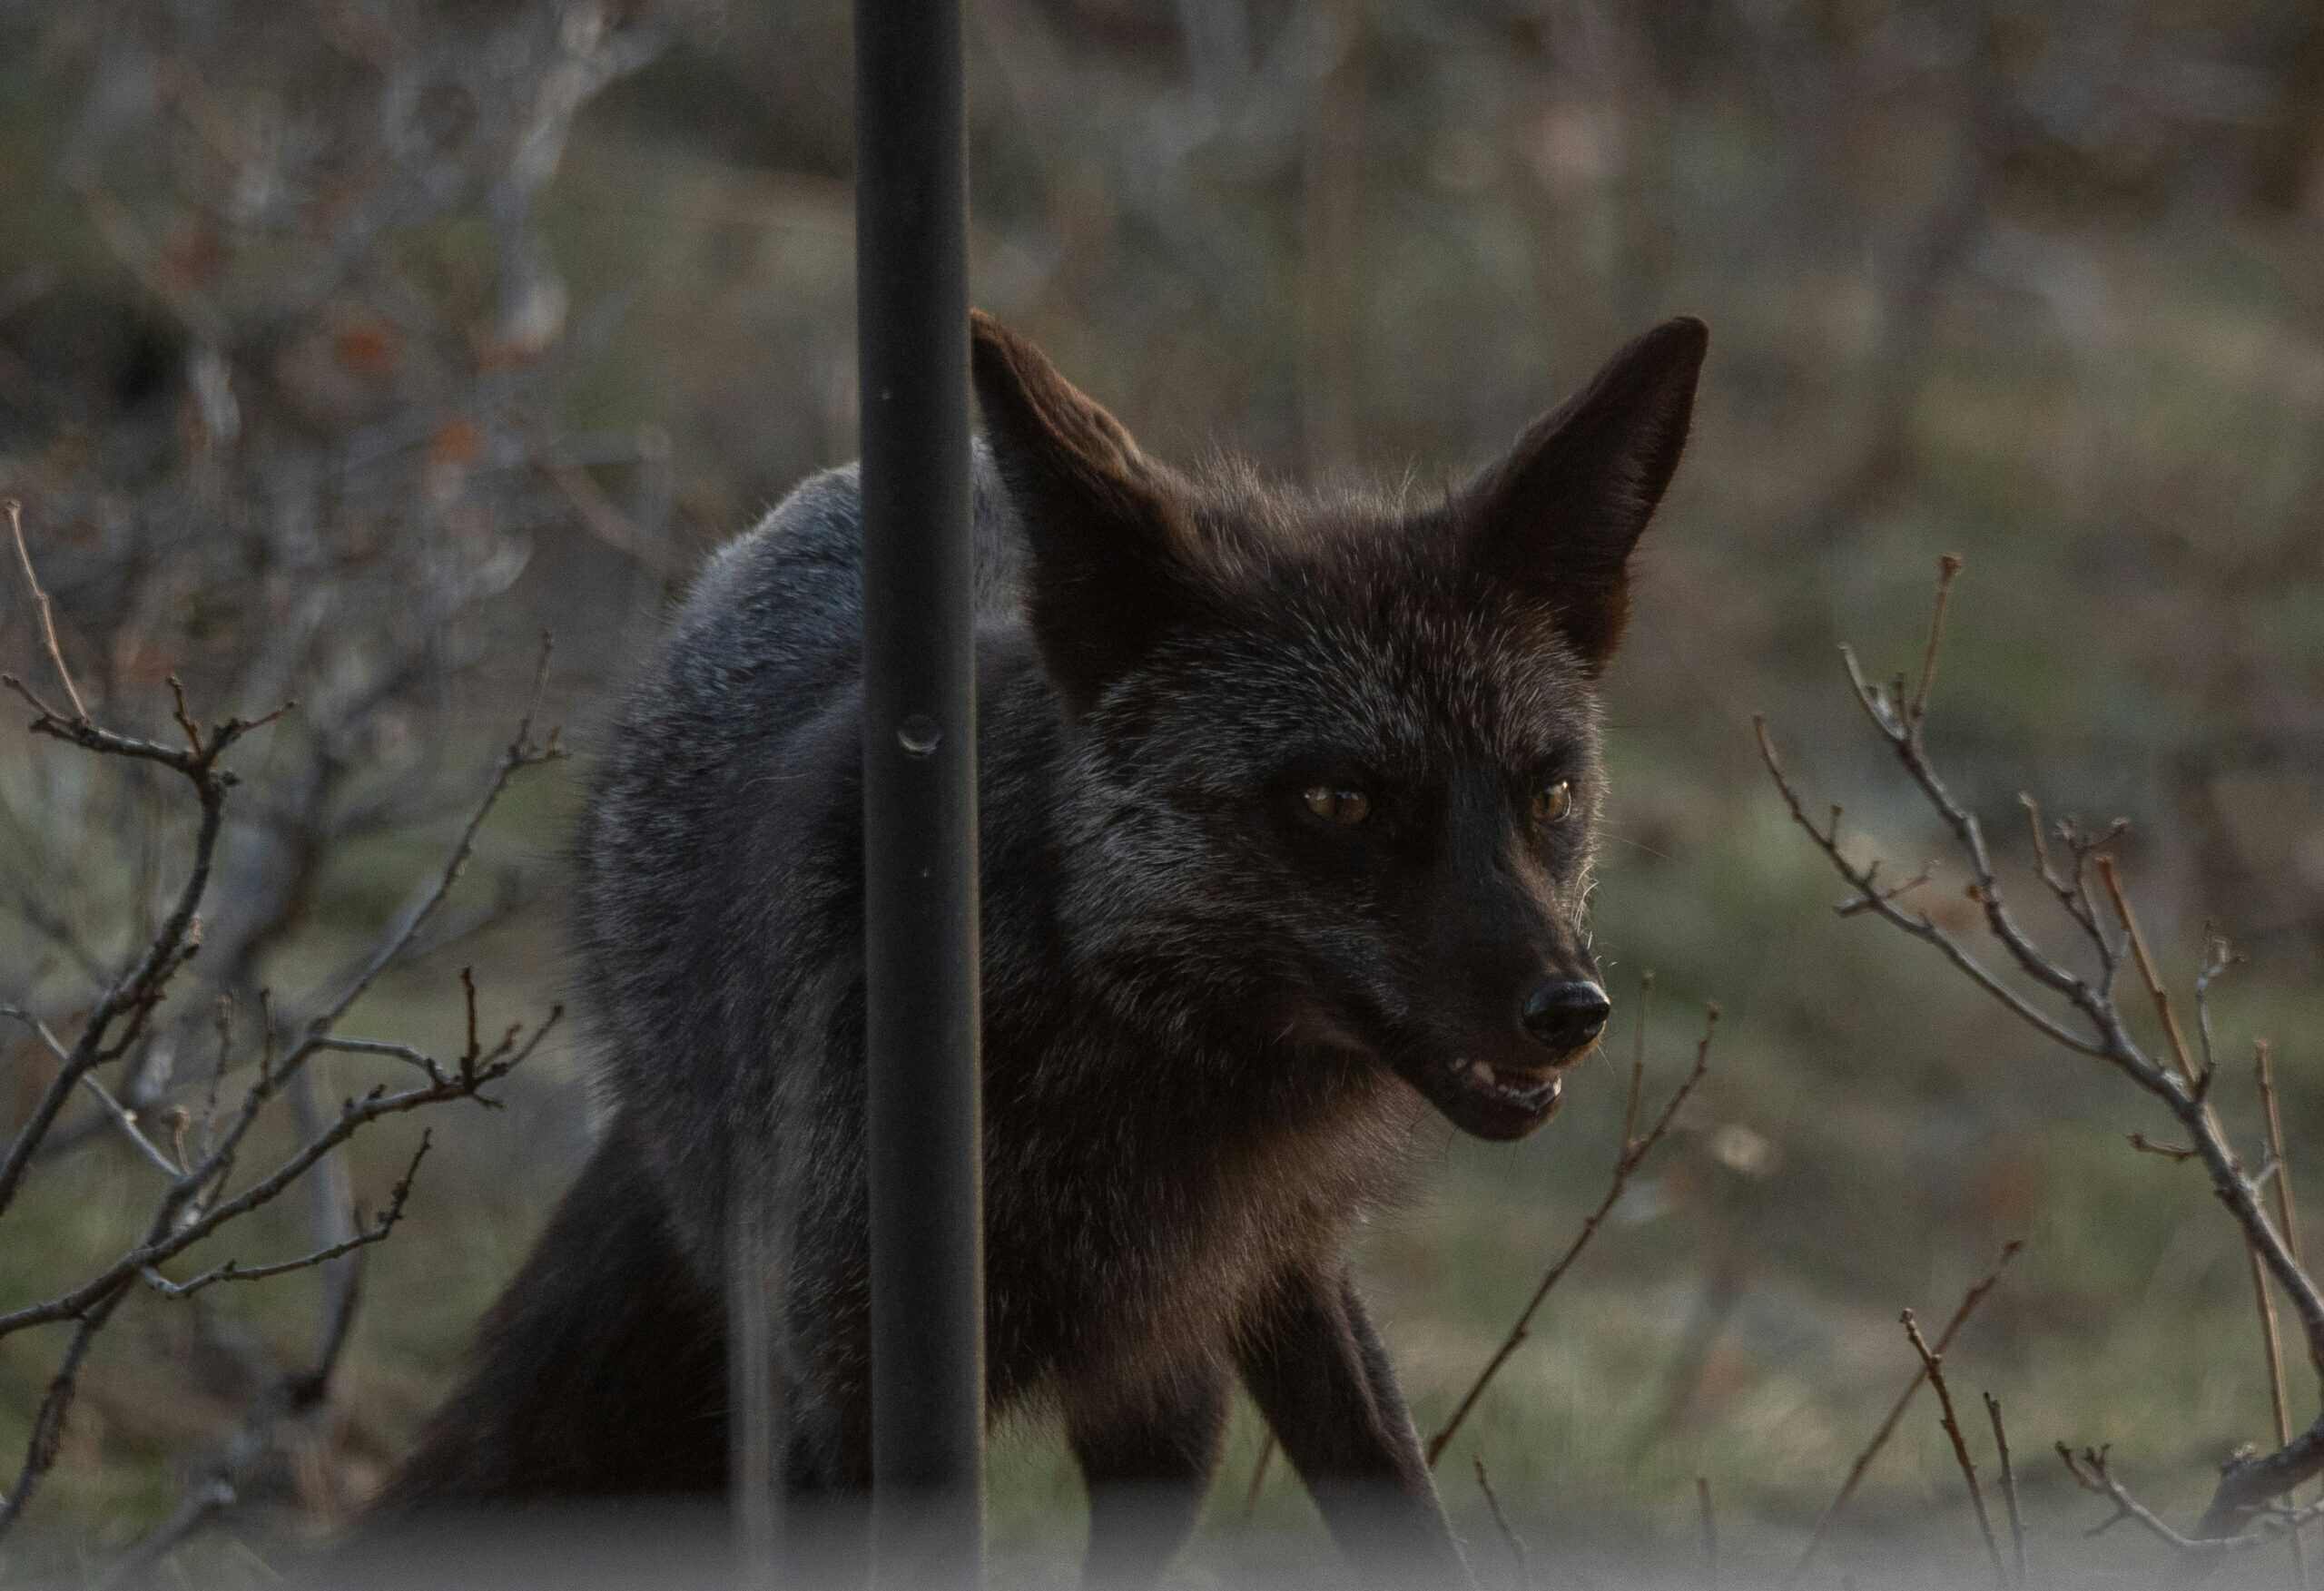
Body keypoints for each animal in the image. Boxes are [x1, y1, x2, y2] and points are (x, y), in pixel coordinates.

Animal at [361, 311, 1707, 1588]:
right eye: (1339, 802)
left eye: (1549, 792)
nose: (1570, 1011)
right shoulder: (852, 1399)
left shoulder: (1272, 1281)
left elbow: (1399, 1496)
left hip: (1178, 1400)